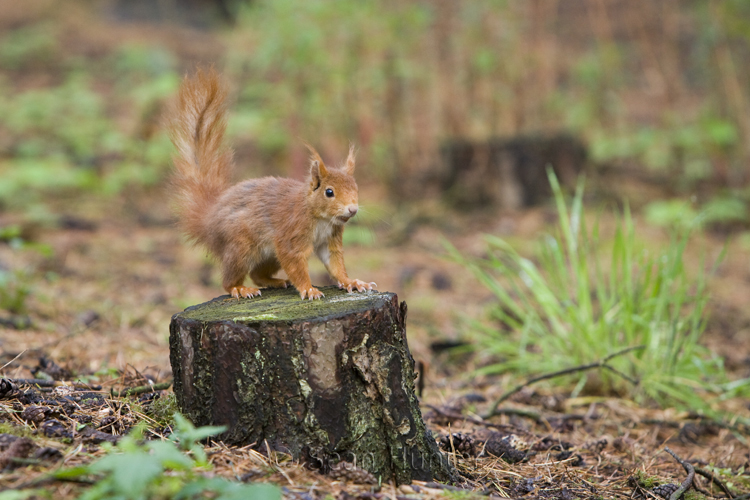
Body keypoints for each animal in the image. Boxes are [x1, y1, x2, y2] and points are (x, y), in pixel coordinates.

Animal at [169, 68, 377, 300]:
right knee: (230, 280)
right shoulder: (291, 236)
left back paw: (276, 282)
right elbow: (295, 264)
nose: (352, 209)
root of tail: (208, 220)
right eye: (329, 192)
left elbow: (335, 264)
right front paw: (308, 289)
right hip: (240, 247)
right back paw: (240, 289)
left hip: (268, 255)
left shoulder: (329, 240)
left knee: (257, 274)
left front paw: (353, 282)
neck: (321, 218)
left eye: (356, 188)